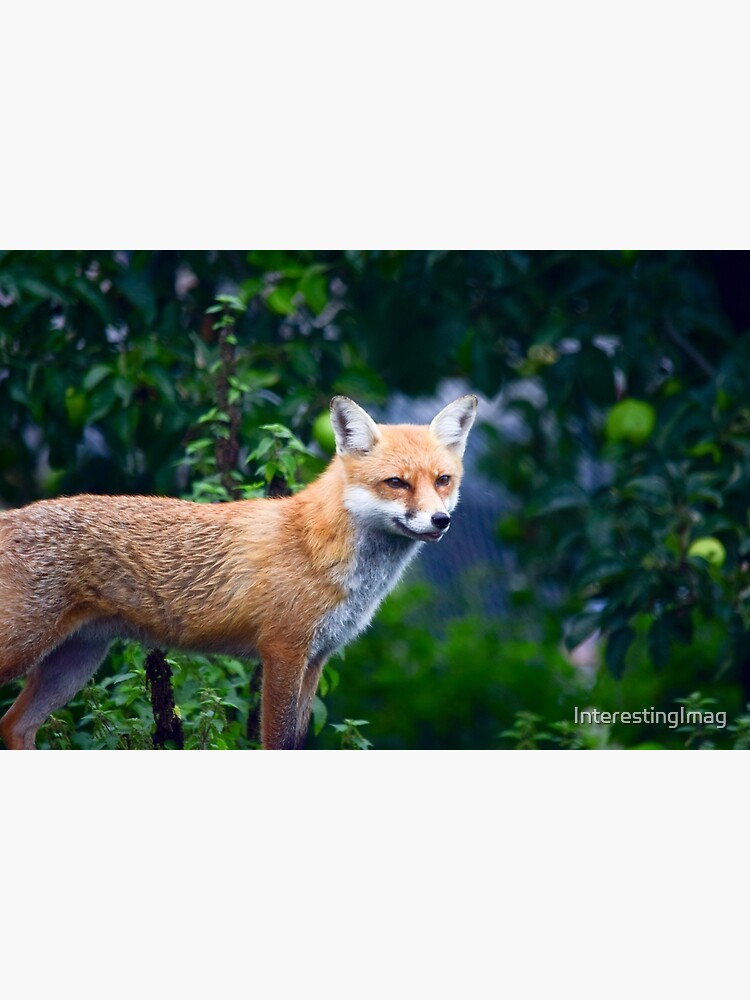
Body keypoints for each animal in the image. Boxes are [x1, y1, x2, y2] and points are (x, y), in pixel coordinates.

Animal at [0, 393, 477, 750]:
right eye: (396, 483)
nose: (440, 521)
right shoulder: (282, 651)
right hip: (26, 650)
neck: (319, 547)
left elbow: (297, 742)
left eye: (443, 480)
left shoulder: (316, 659)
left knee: (14, 726)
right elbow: (277, 744)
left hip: (74, 662)